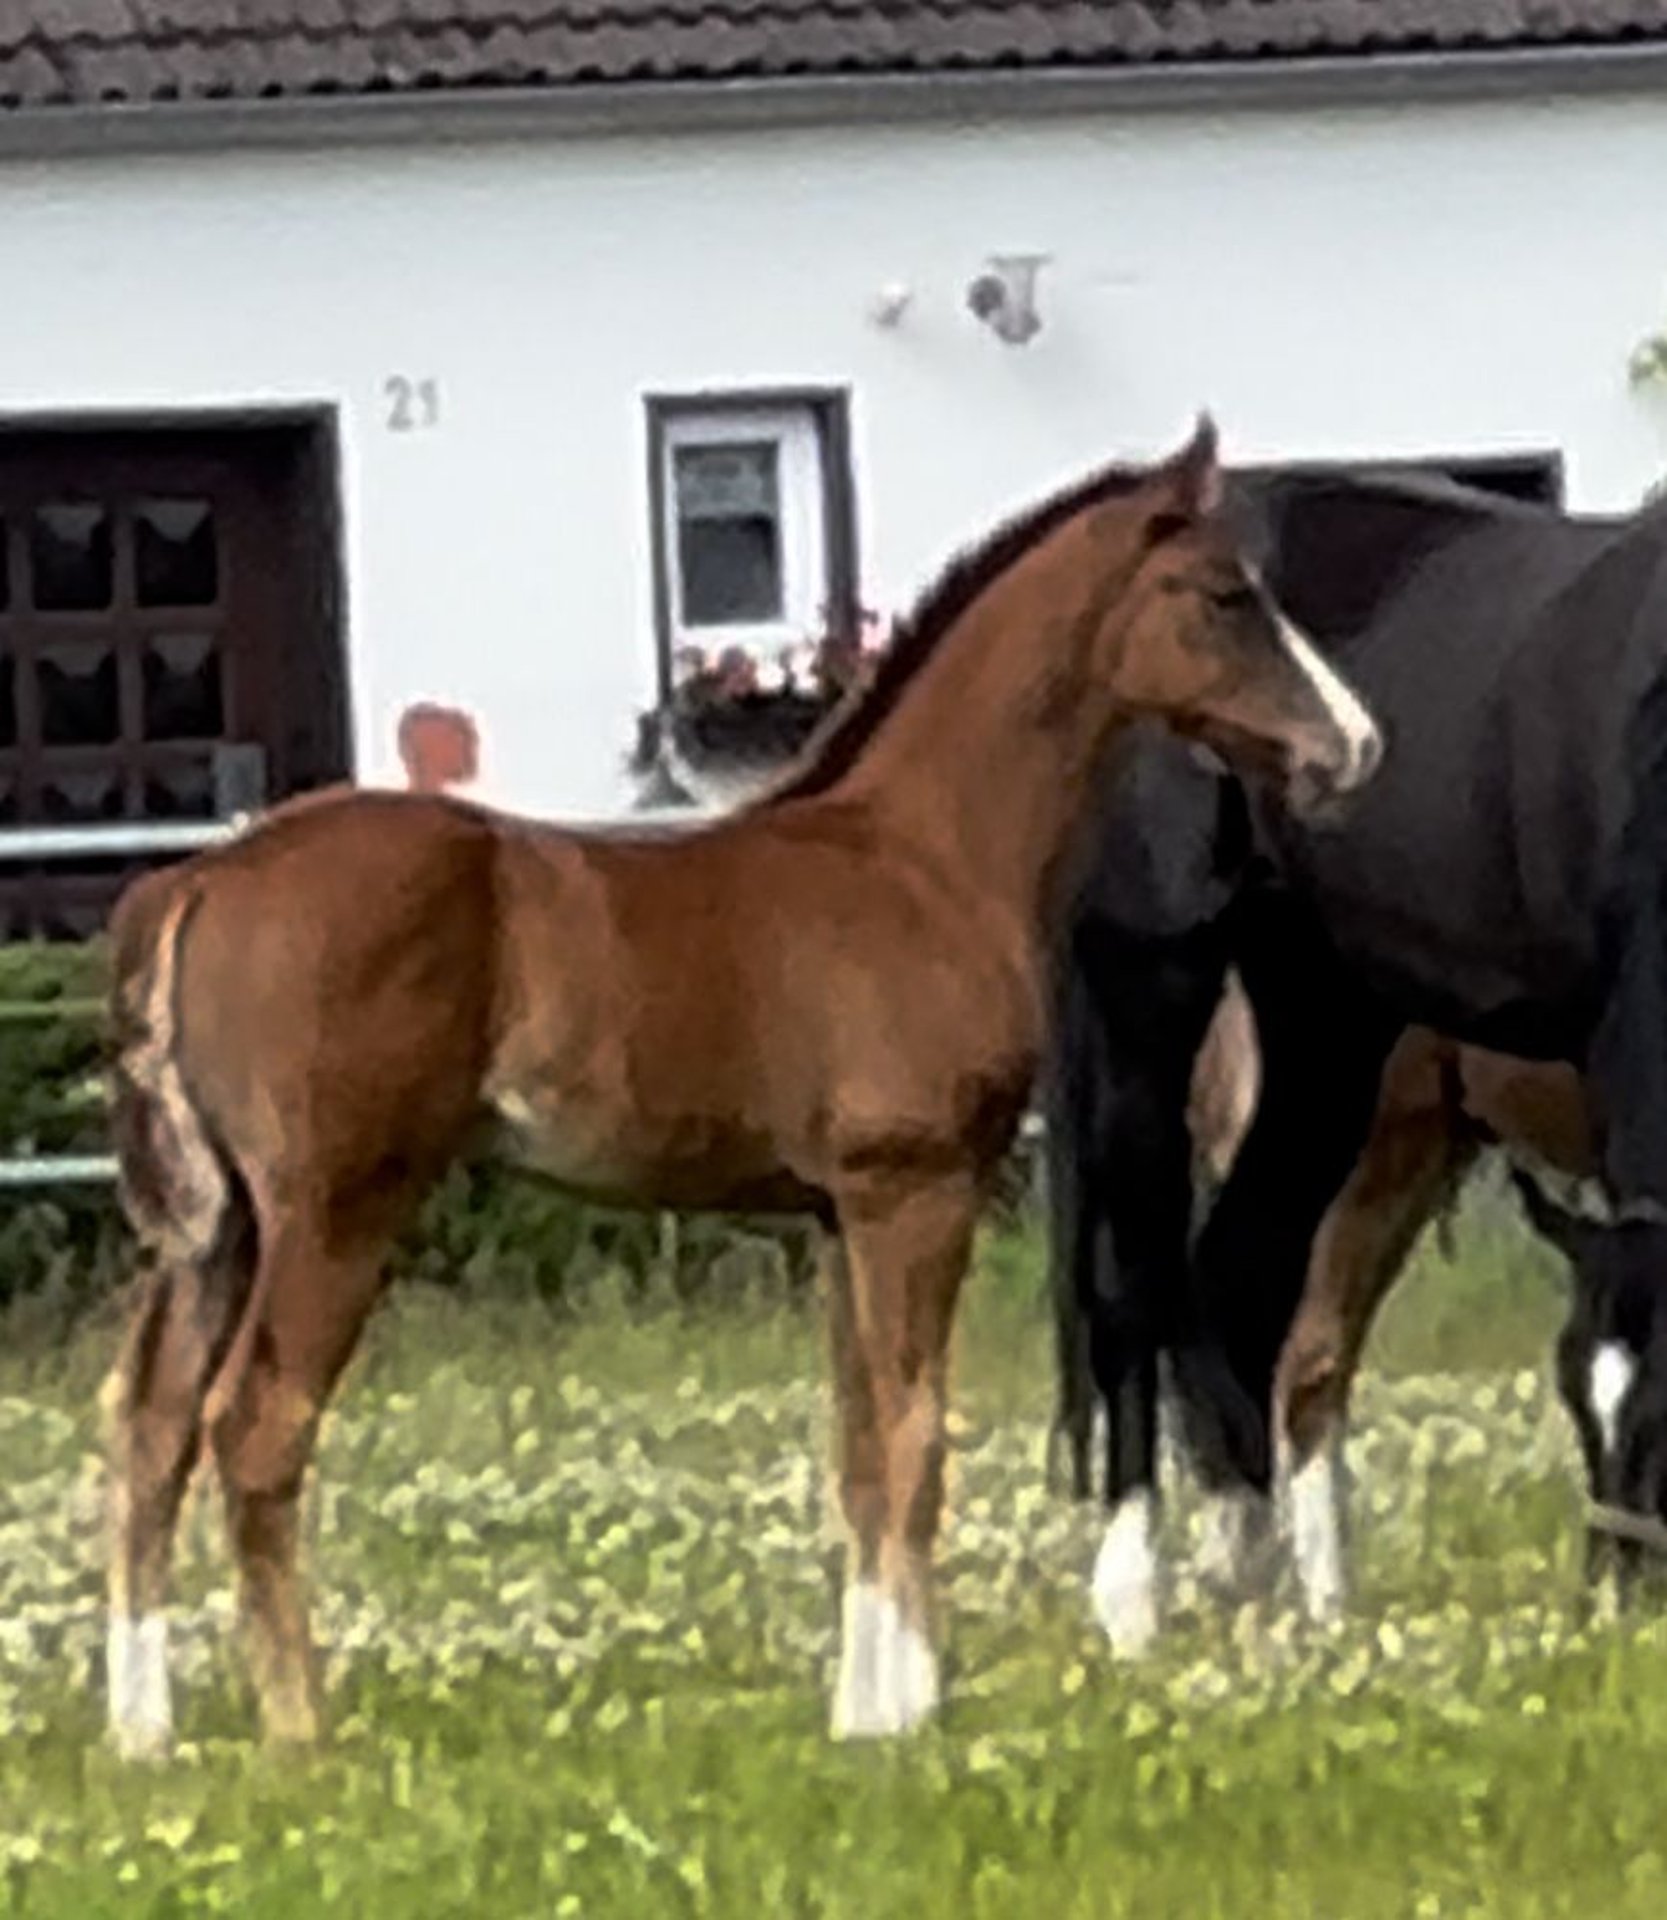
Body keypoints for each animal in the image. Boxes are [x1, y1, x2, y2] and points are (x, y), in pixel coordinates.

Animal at [97, 417, 1381, 1760]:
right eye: (1226, 595)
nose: (1351, 745)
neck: (921, 855)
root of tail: (200, 880)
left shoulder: (835, 1216)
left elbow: (858, 1450)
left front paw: (858, 1712)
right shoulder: (912, 1193)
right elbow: (915, 1437)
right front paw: (913, 1708)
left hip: (216, 1230)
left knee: (149, 1430)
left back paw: (142, 1734)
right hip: (335, 1210)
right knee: (256, 1426)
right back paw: (301, 1728)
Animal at [1044, 461, 1667, 1656]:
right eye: (1572, 1393)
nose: (1620, 1610)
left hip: (1327, 1044)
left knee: (1241, 1289)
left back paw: (1261, 1586)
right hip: (1167, 1005)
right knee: (1164, 1294)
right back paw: (1143, 1597)